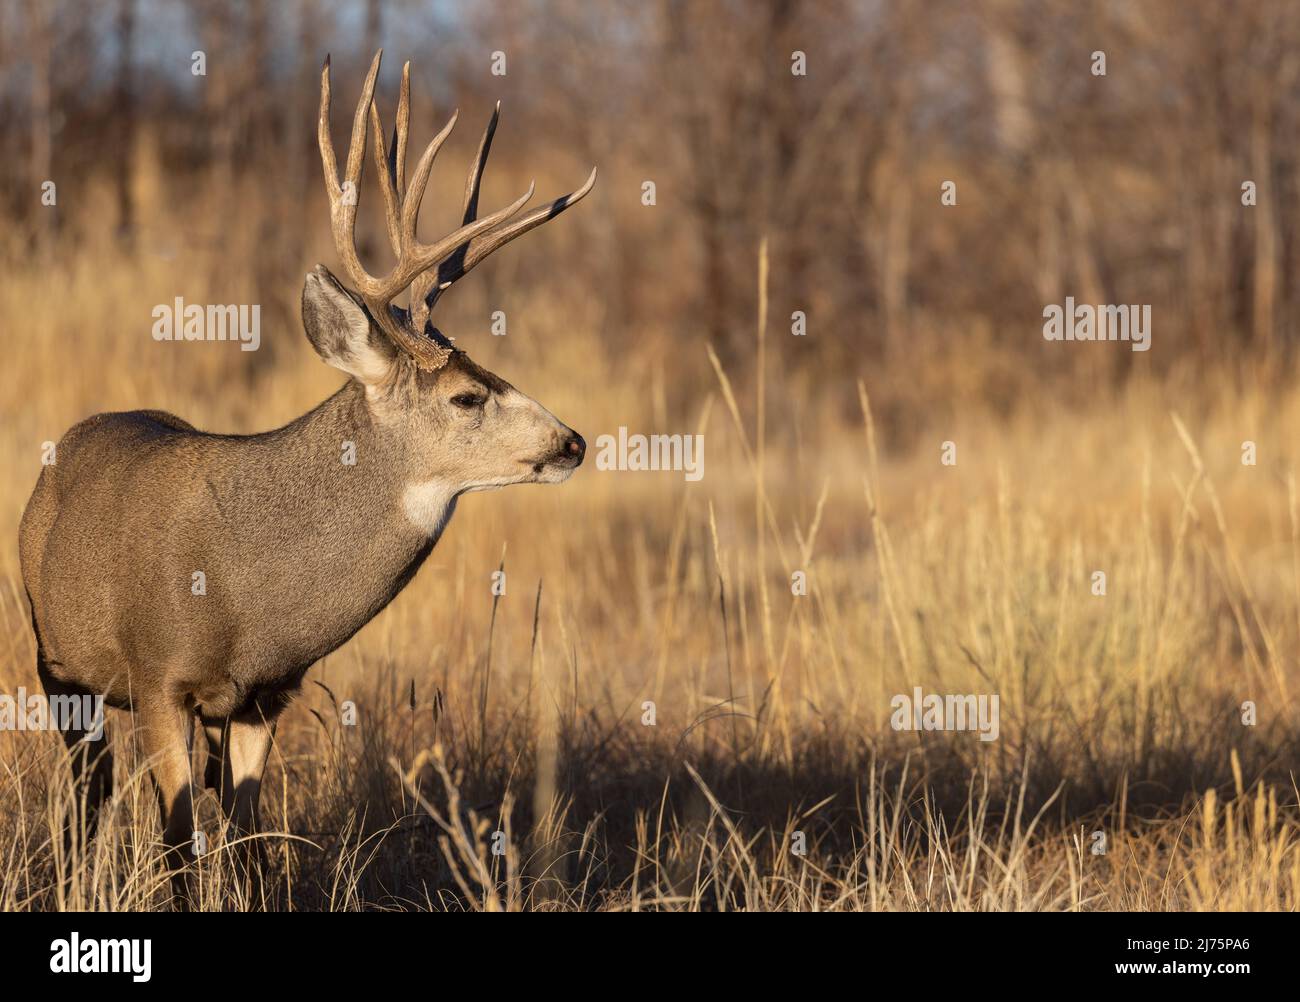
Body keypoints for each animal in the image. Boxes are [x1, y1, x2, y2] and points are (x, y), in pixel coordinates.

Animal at [18, 50, 594, 905]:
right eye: (466, 396)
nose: (573, 442)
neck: (245, 588)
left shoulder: (267, 695)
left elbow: (248, 845)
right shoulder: (158, 678)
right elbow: (178, 847)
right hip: (56, 666)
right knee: (86, 805)